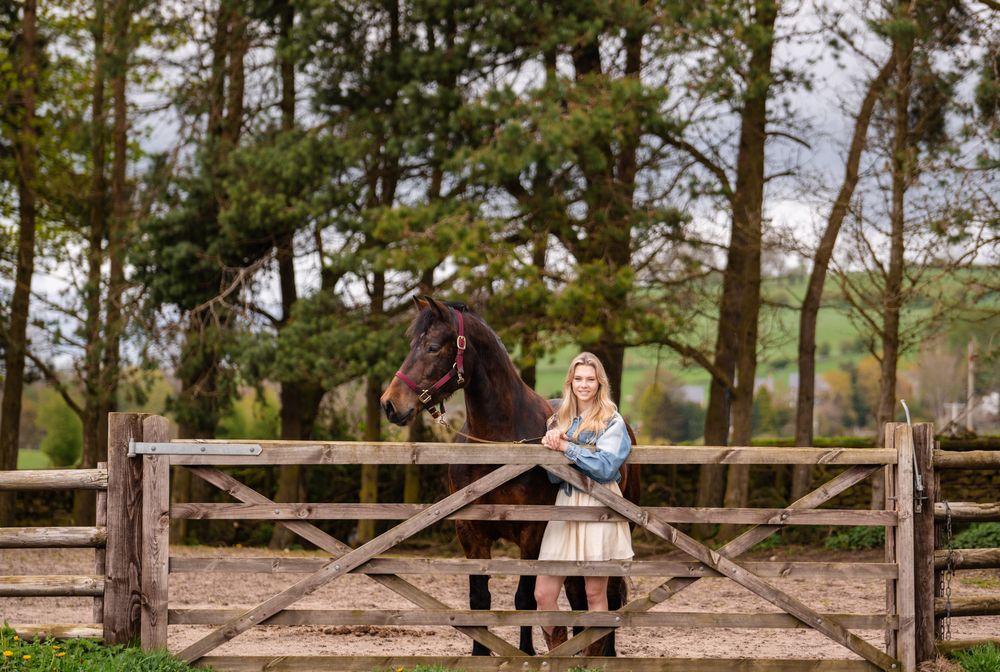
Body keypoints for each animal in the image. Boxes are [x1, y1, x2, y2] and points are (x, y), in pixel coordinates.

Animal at [380, 296, 640, 657]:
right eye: (411, 345)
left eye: (432, 347)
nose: (390, 404)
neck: (498, 444)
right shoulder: (471, 532)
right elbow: (479, 598)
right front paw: (480, 655)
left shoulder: (532, 532)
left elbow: (524, 598)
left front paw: (526, 653)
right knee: (578, 593)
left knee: (610, 595)